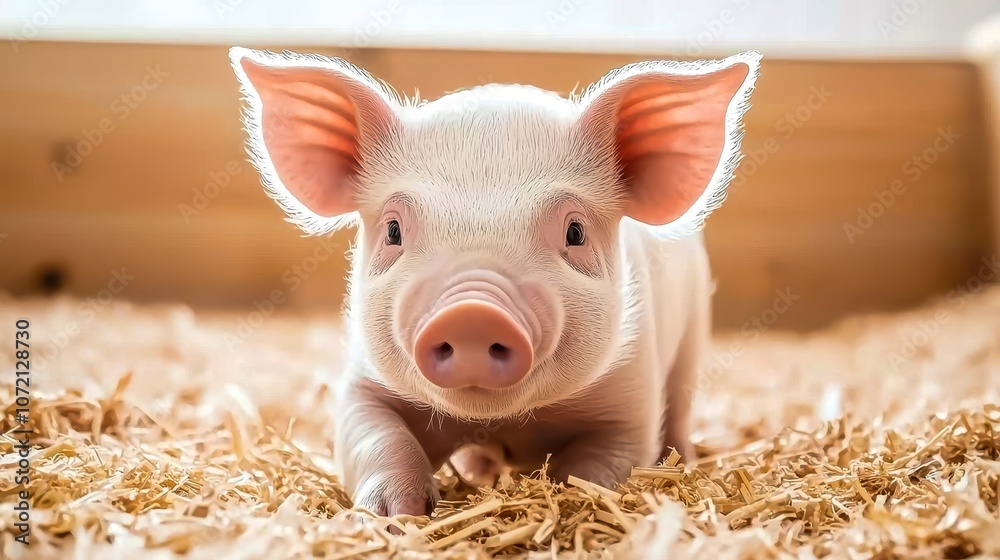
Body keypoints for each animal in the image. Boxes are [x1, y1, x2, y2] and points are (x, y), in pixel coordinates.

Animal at [229, 46, 760, 517]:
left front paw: (568, 496)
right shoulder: (365, 381)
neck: (505, 424)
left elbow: (605, 462)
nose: (472, 313)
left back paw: (686, 459)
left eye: (575, 232)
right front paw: (392, 515)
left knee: (681, 405)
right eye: (394, 230)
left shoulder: (631, 392)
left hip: (693, 334)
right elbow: (376, 437)